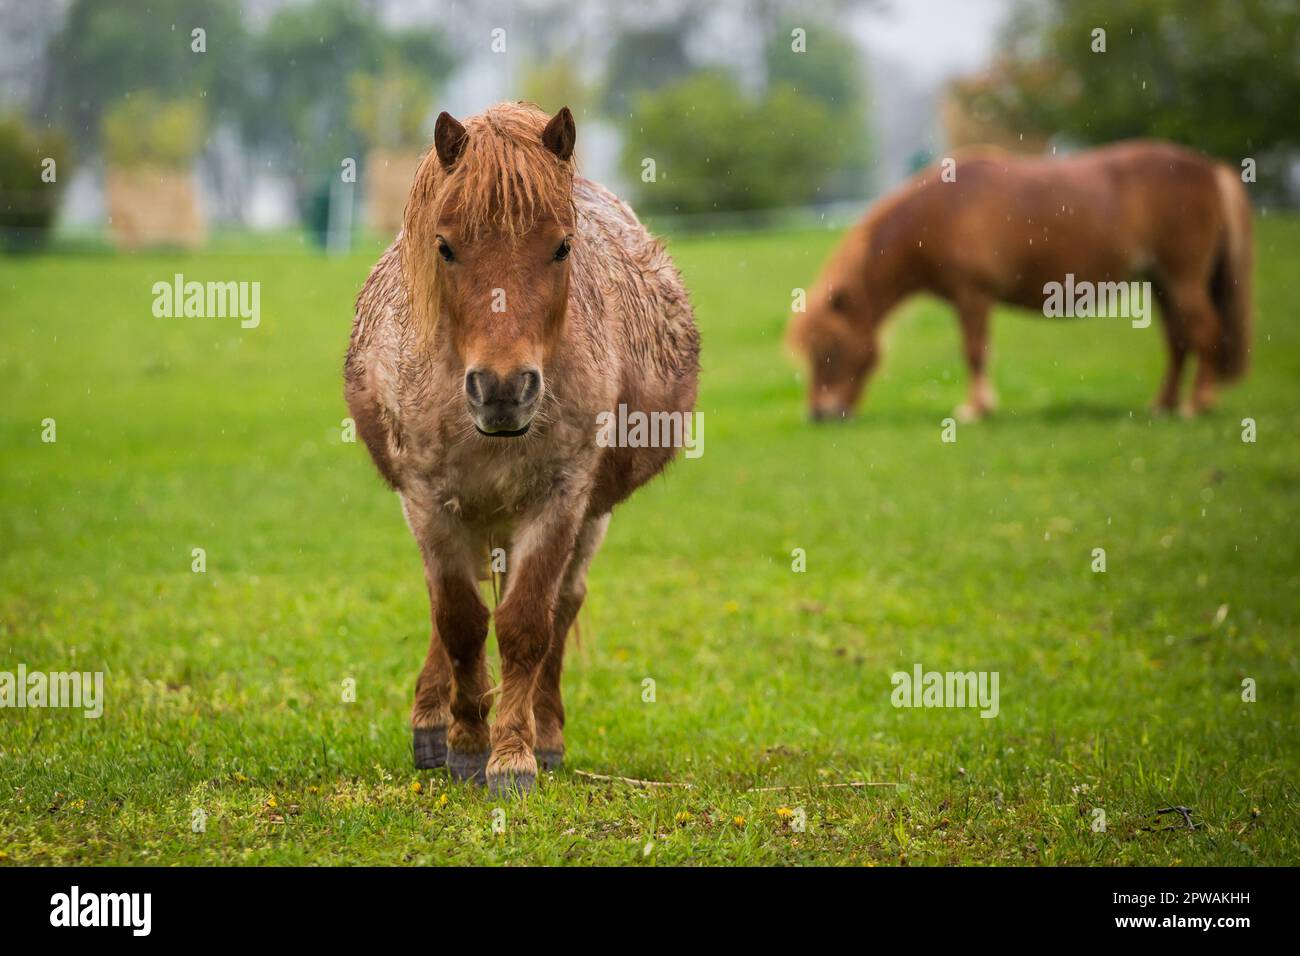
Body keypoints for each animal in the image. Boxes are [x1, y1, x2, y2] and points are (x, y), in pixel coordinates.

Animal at [344, 103, 699, 795]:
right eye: (446, 246)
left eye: (562, 245)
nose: (503, 390)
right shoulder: (429, 502)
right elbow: (459, 622)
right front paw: (463, 745)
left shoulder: (561, 500)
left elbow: (526, 624)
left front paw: (513, 755)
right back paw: (433, 723)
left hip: (587, 515)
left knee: (561, 607)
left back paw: (546, 731)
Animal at [787, 140, 1253, 421]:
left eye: (830, 349)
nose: (819, 414)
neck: (941, 211)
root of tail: (1211, 170)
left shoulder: (972, 295)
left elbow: (974, 351)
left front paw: (975, 410)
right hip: (1162, 284)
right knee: (1179, 341)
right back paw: (1163, 404)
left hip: (1182, 280)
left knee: (1204, 333)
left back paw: (1196, 405)